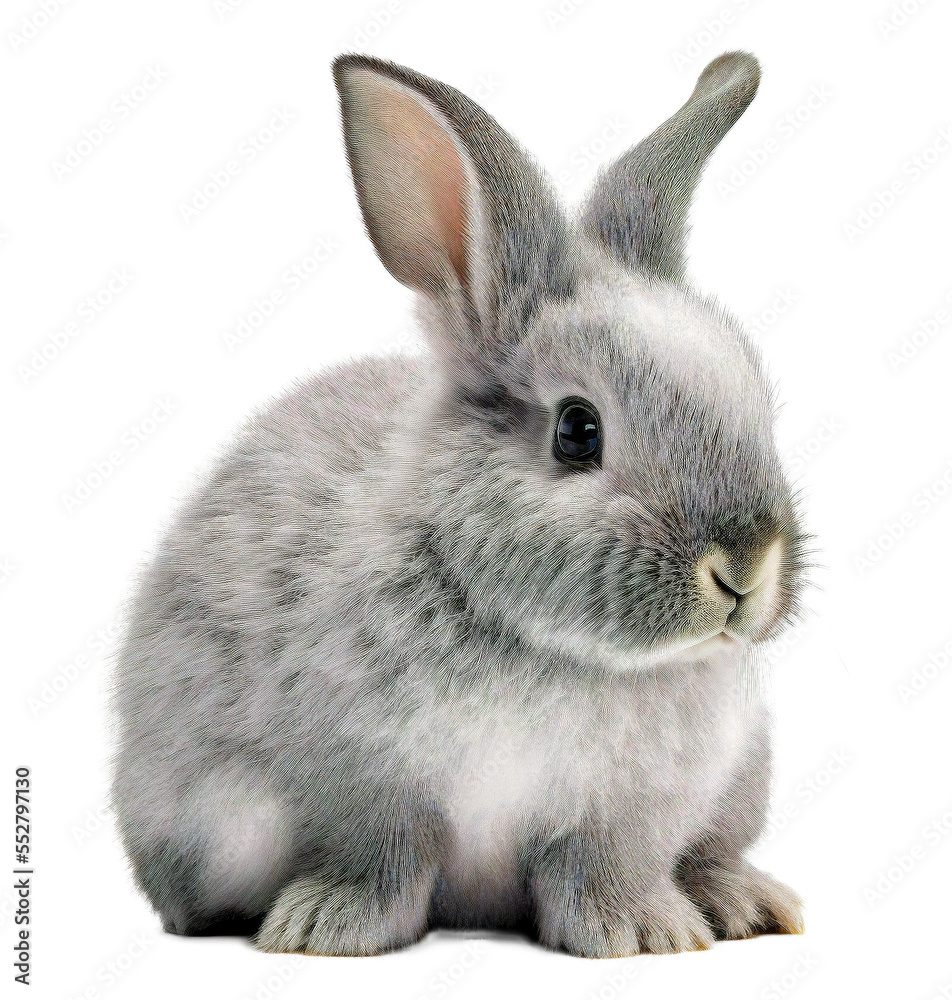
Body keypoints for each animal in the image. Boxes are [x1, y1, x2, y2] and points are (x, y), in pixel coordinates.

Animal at [110, 50, 810, 958]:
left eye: (756, 399)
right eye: (578, 429)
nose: (745, 567)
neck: (546, 644)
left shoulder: (627, 810)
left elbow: (597, 864)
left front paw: (642, 931)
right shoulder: (363, 784)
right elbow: (386, 857)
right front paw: (326, 928)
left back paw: (744, 903)